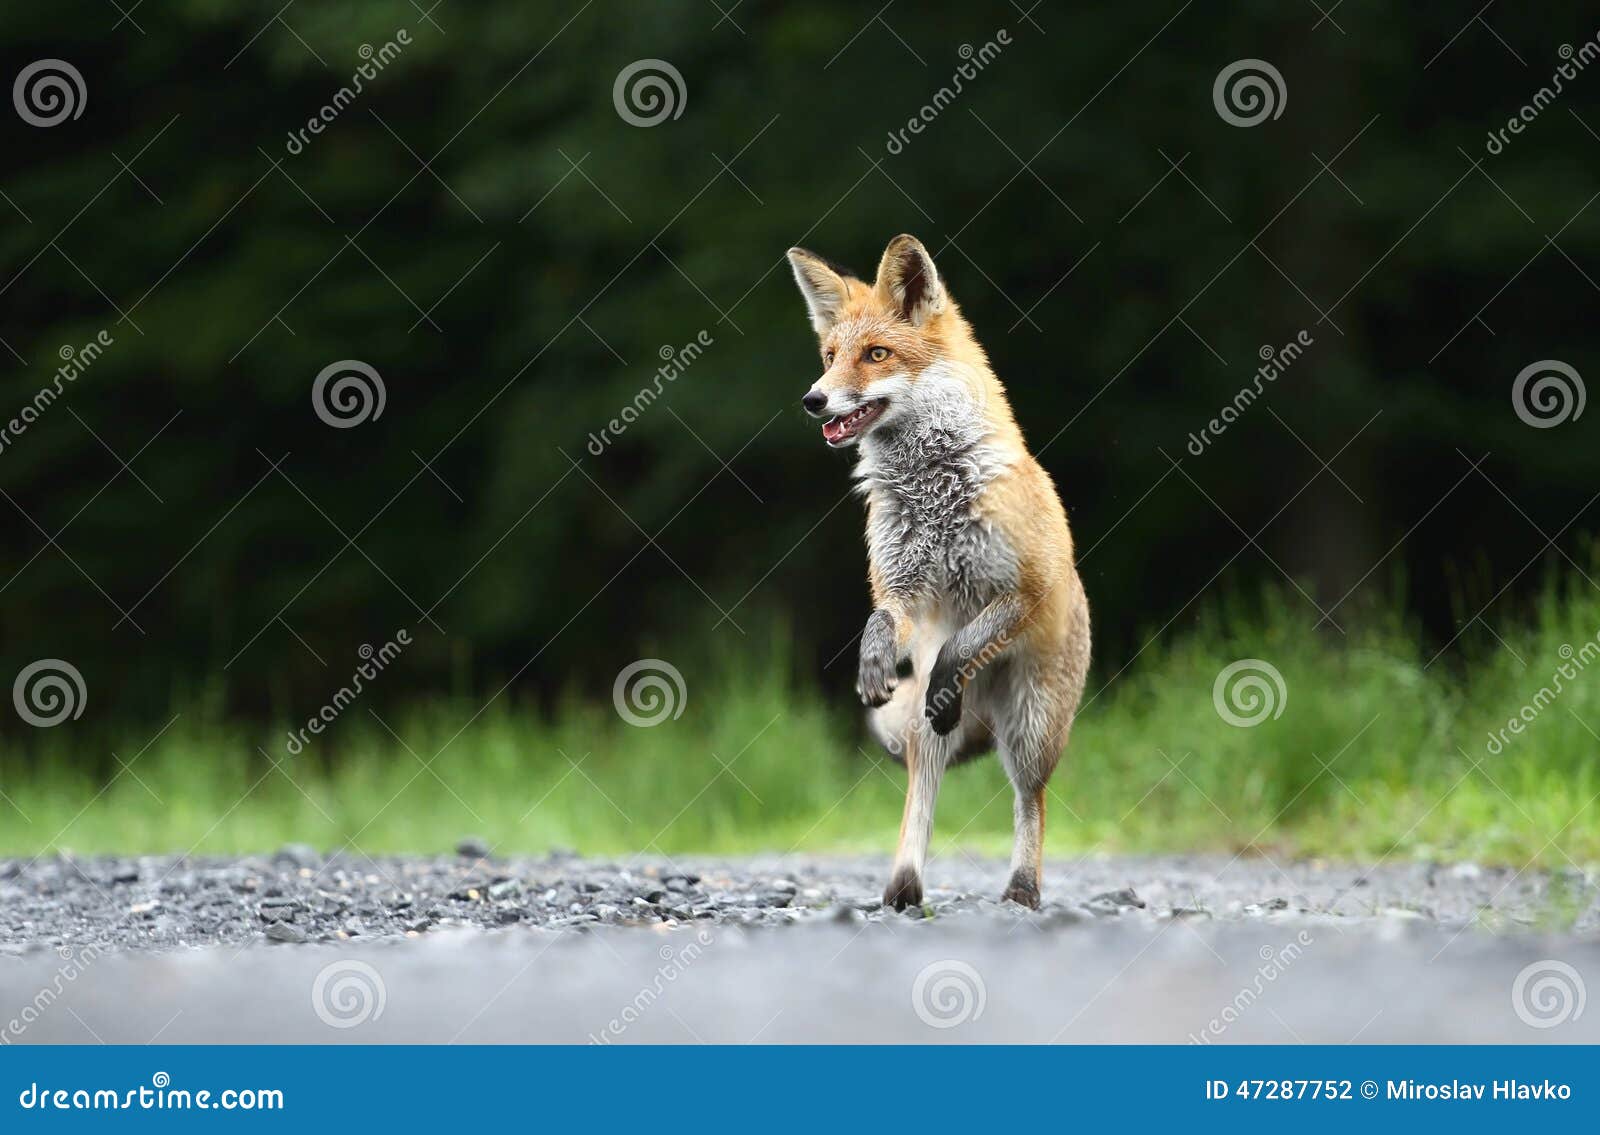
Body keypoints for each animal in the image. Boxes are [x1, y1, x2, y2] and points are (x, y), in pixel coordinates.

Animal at [787, 233, 1091, 911]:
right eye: (829, 357)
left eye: (875, 355)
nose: (813, 399)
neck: (934, 494)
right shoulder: (903, 590)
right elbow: (879, 623)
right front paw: (872, 664)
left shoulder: (1023, 590)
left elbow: (962, 643)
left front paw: (952, 669)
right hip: (928, 739)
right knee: (919, 797)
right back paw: (903, 887)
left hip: (1033, 732)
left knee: (1031, 802)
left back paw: (1023, 889)